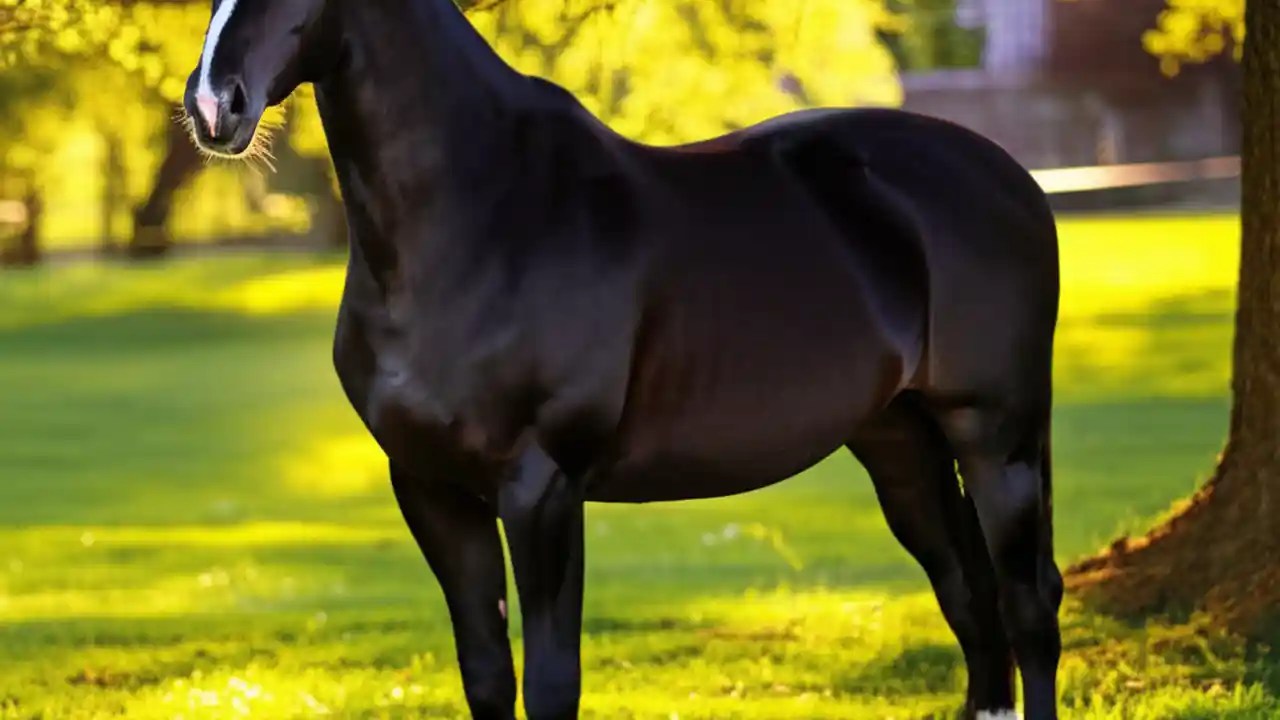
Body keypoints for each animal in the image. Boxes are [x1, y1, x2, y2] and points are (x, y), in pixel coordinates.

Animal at [184, 1, 1062, 717]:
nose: (212, 104)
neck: (479, 217)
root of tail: (1013, 179)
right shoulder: (431, 487)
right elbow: (486, 675)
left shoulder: (541, 489)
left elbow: (550, 685)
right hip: (901, 445)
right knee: (971, 604)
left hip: (997, 441)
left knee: (1028, 609)